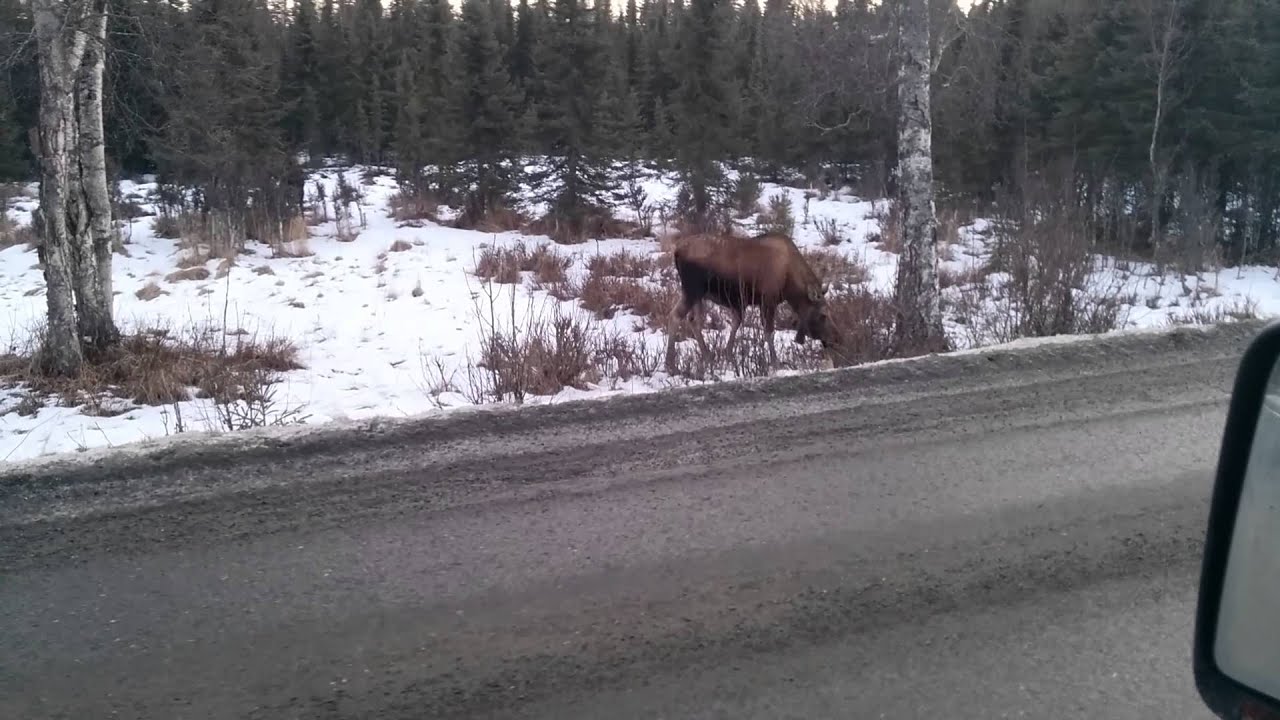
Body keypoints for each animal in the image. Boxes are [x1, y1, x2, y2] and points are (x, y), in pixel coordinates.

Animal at [663, 231, 843, 373]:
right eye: (823, 314)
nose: (836, 338)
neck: (790, 283)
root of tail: (676, 251)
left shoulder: (741, 304)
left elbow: (736, 324)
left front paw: (728, 356)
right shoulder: (768, 300)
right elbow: (769, 332)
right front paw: (776, 363)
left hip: (697, 295)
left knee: (694, 321)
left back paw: (707, 356)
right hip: (692, 290)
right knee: (675, 316)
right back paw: (670, 365)